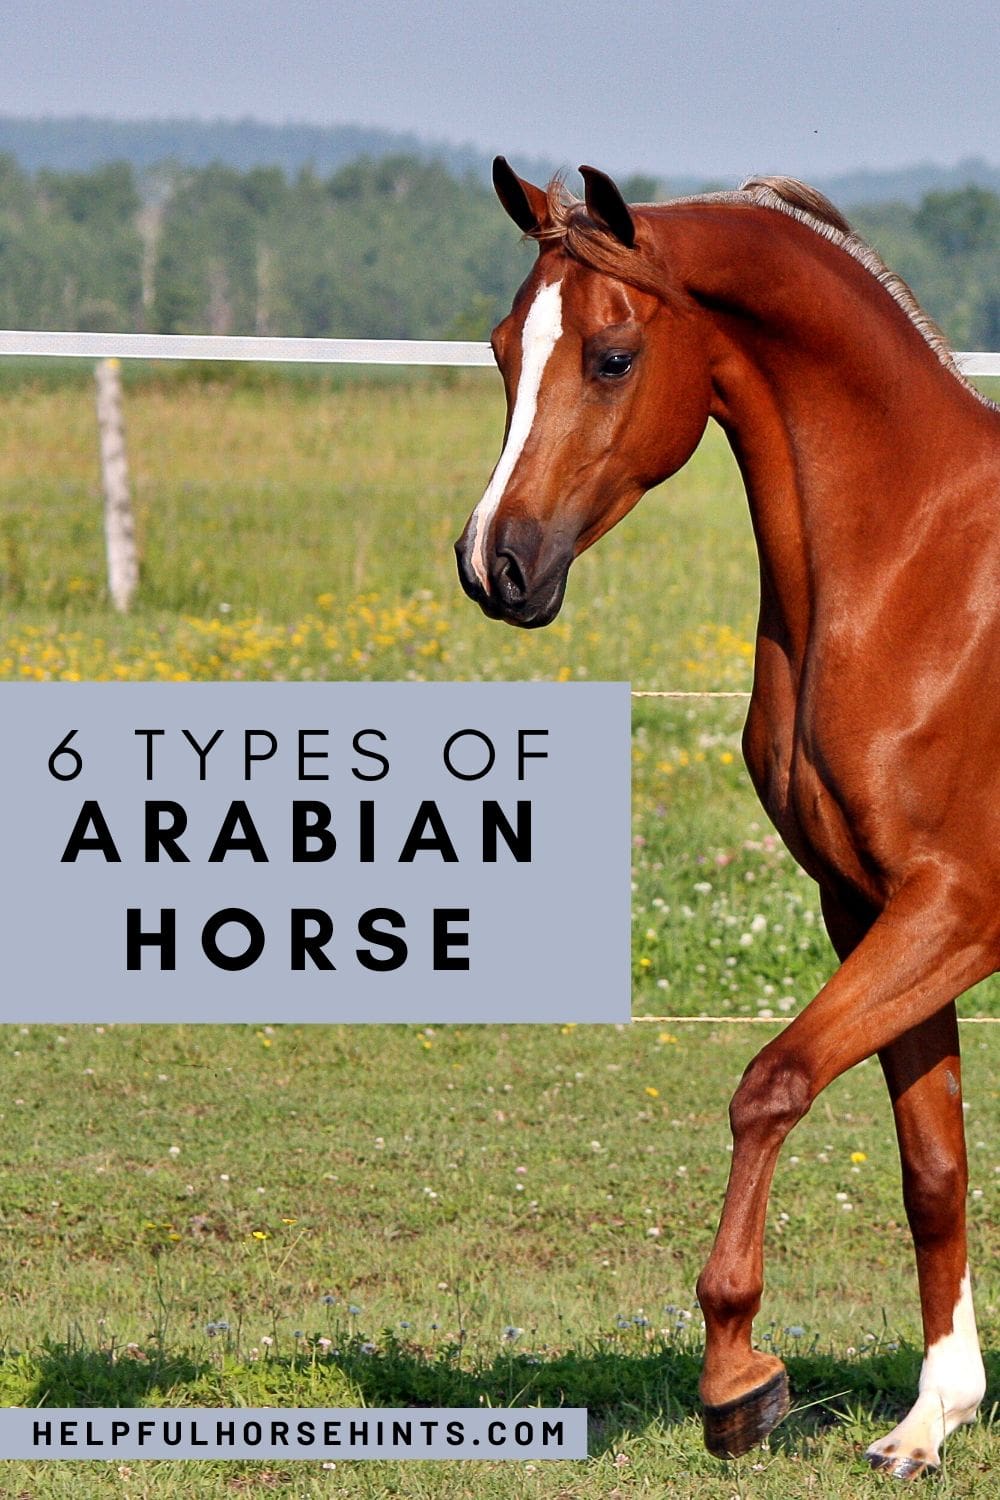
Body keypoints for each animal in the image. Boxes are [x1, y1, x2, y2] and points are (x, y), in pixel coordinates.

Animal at [455, 157, 1000, 1479]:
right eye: (501, 346)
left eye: (610, 356)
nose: (494, 564)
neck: (923, 571)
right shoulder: (870, 908)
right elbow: (931, 1164)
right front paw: (930, 1418)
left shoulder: (959, 908)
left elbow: (771, 1082)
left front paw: (736, 1377)